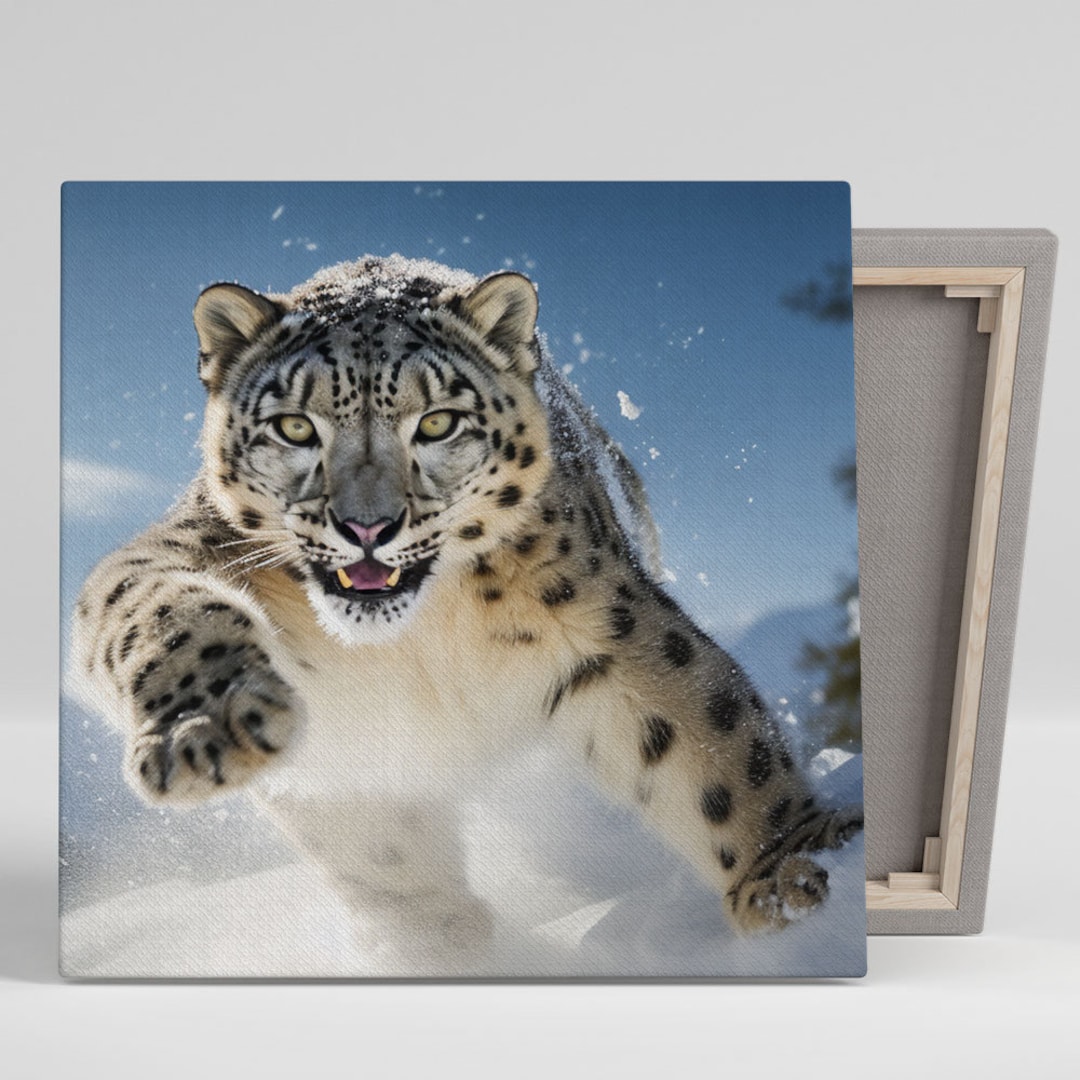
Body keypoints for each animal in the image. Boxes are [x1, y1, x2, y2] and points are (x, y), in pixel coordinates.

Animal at [72, 253, 862, 967]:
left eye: (439, 422)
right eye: (295, 427)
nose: (366, 526)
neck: (416, 641)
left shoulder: (606, 621)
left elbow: (709, 735)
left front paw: (792, 874)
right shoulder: (193, 555)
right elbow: (160, 610)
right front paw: (209, 725)